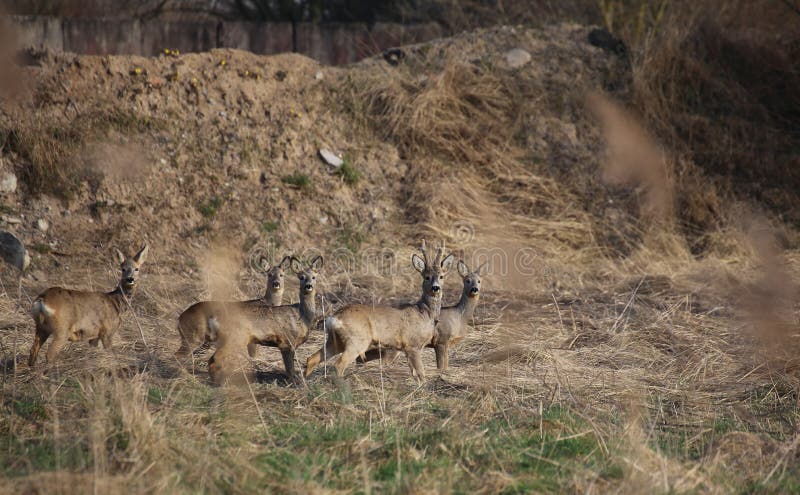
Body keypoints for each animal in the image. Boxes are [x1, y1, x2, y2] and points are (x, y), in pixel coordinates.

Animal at [208, 255, 322, 385]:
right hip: (236, 338)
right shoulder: (286, 342)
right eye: (301, 277)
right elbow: (290, 369)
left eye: (314, 277)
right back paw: (218, 382)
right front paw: (295, 384)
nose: (308, 286)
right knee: (214, 358)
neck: (302, 316)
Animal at [304, 240, 453, 380]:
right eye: (427, 277)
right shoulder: (412, 344)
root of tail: (335, 318)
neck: (424, 313)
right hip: (357, 340)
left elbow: (414, 374)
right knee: (339, 364)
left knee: (312, 358)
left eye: (441, 276)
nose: (435, 288)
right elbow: (421, 374)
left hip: (336, 341)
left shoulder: (406, 348)